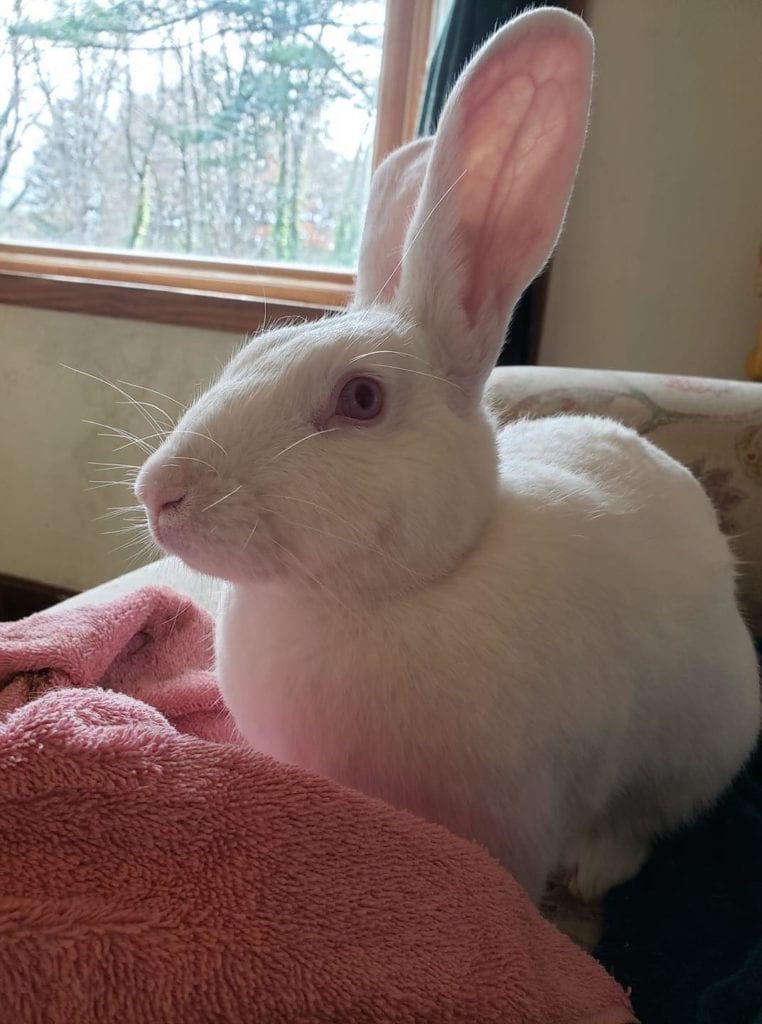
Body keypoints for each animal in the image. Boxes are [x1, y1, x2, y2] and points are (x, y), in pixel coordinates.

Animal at [134, 8, 761, 904]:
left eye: (361, 399)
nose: (160, 494)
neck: (383, 597)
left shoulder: (514, 828)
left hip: (705, 737)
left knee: (647, 817)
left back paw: (596, 866)